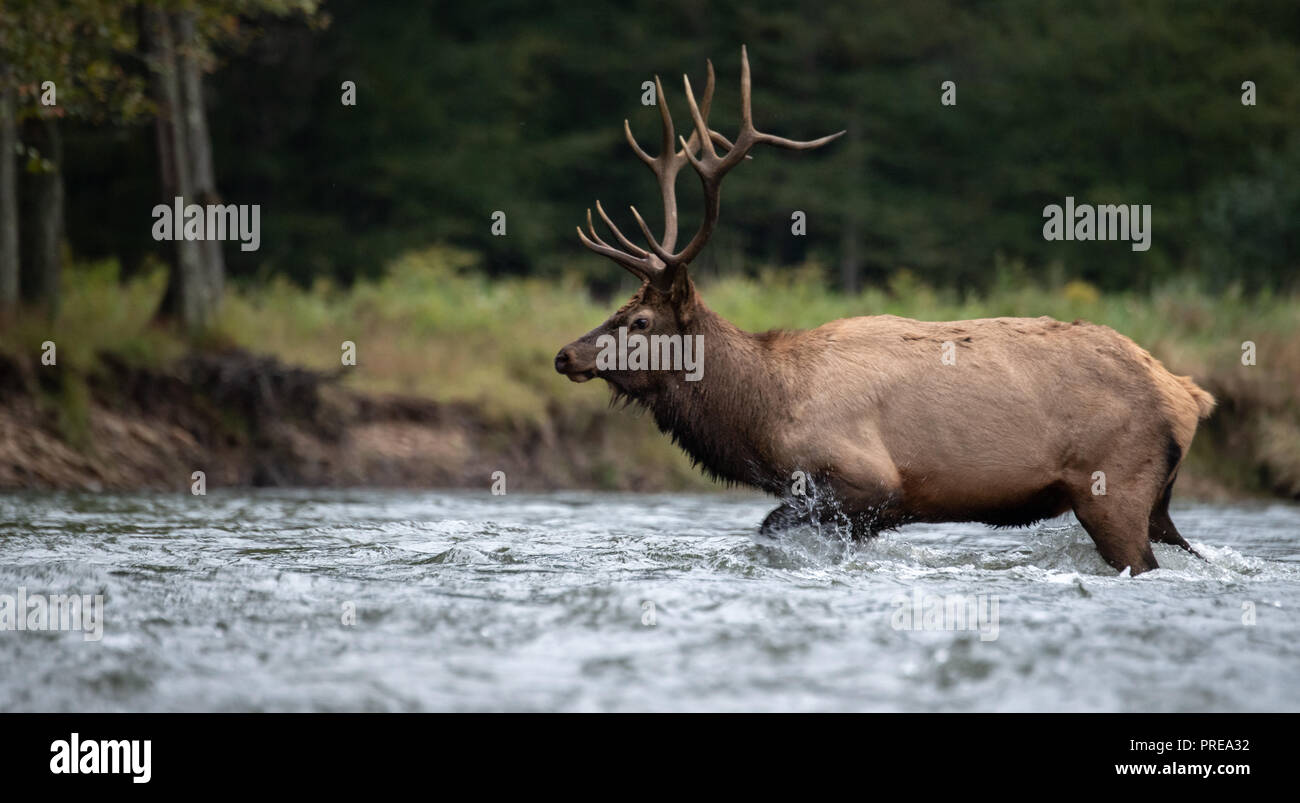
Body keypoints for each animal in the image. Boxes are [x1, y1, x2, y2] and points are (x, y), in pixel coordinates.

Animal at [554, 47, 1216, 575]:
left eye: (641, 322)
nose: (565, 355)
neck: (766, 408)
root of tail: (1189, 393)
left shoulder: (874, 481)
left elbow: (773, 529)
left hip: (1114, 486)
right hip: (1155, 499)